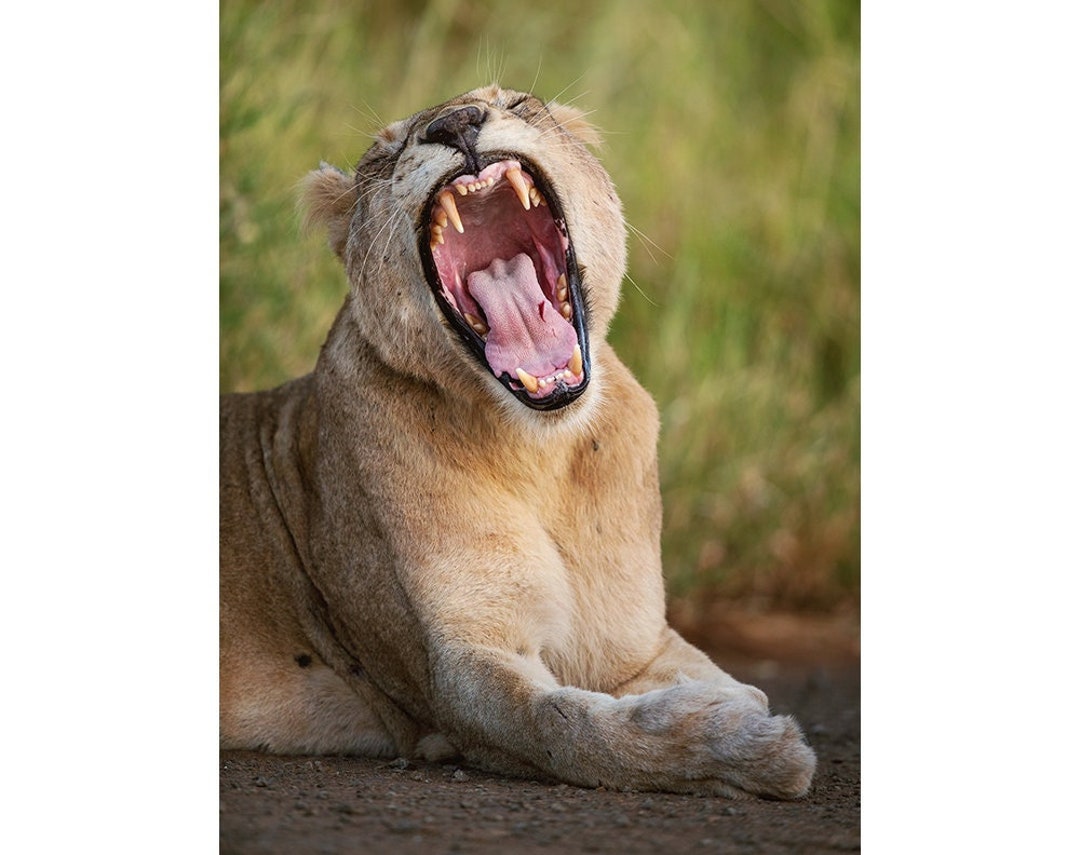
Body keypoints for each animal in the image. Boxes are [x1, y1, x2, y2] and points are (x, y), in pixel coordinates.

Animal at [220, 84, 817, 799]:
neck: (542, 455)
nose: (455, 123)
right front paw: (748, 747)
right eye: (382, 154)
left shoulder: (635, 648)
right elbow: (574, 730)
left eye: (516, 102)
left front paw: (732, 709)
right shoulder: (458, 675)